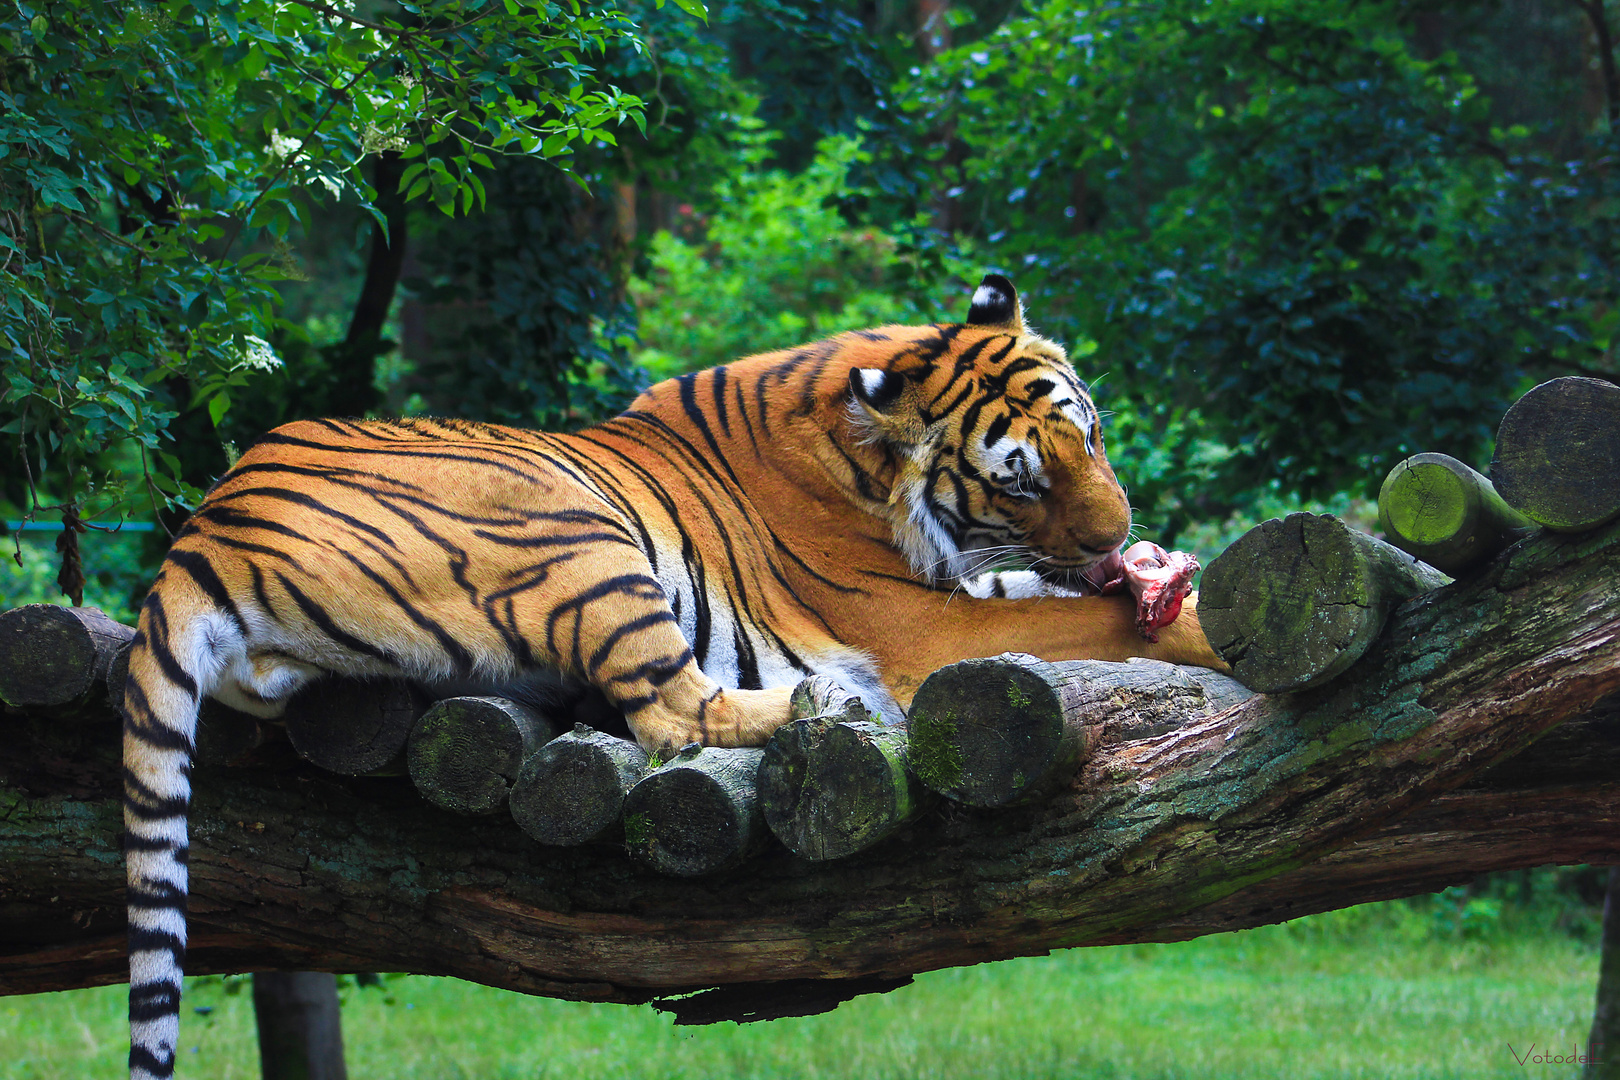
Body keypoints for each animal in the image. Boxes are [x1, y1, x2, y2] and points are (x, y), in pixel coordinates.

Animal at [119, 273, 1224, 1079]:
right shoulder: (921, 626)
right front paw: (1188, 606)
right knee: (669, 714)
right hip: (573, 524)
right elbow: (1101, 616)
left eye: (1090, 433)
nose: (1116, 532)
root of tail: (207, 527)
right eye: (1019, 482)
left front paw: (1160, 568)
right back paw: (827, 700)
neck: (866, 464)